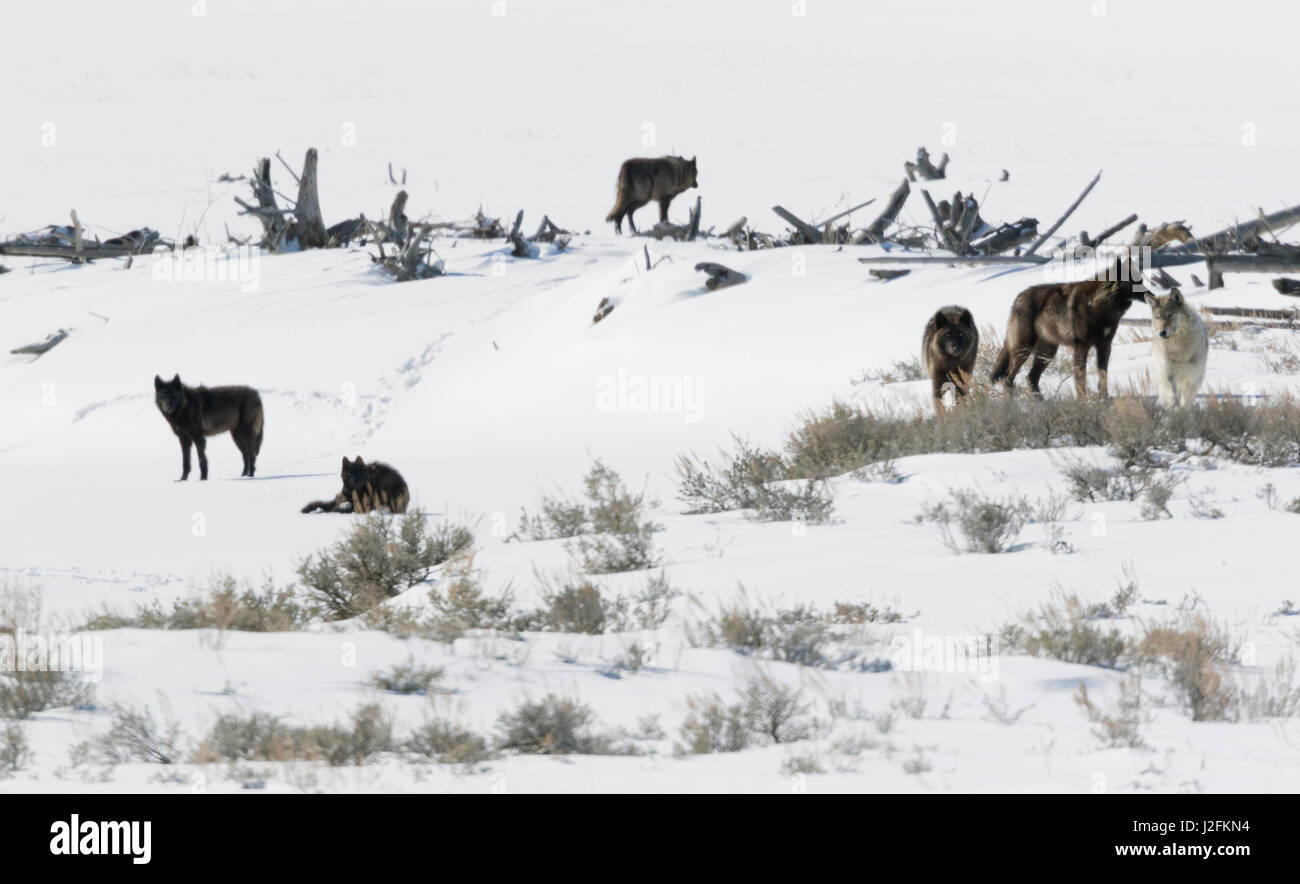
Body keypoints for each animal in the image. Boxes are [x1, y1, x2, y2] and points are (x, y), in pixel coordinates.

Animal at [990, 256, 1144, 398]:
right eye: (1137, 282)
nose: (1149, 292)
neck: (1100, 306)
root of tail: (1018, 297)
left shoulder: (1105, 346)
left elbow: (1102, 377)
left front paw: (1104, 400)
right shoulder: (1081, 347)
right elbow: (1081, 379)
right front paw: (1084, 402)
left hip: (1047, 353)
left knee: (1031, 377)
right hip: (1024, 350)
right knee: (1008, 378)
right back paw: (1009, 404)